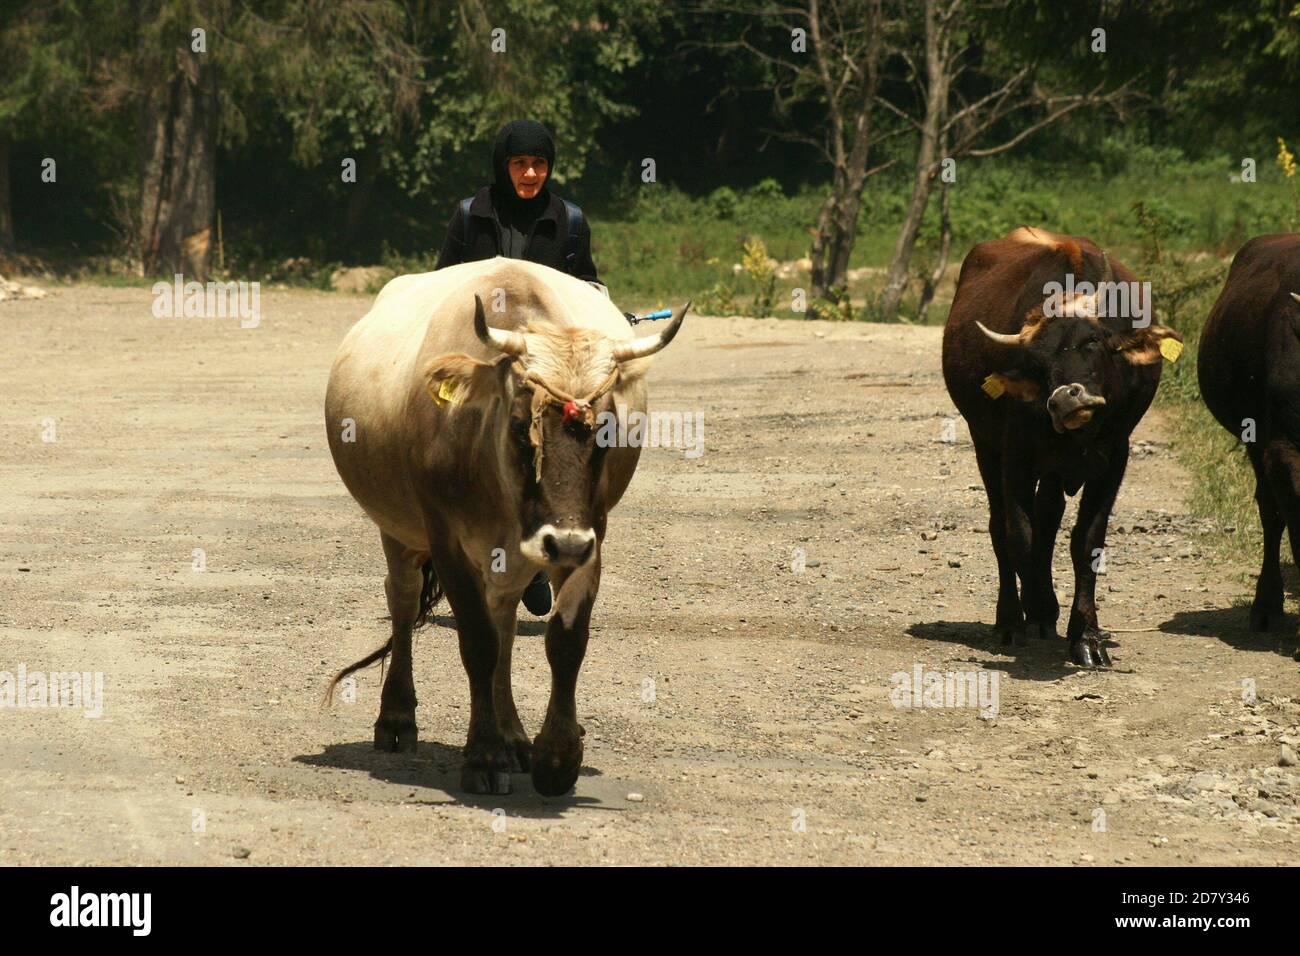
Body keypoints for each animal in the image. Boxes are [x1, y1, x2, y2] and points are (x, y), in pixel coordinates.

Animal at [323, 257, 689, 795]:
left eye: (606, 430)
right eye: (522, 426)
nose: (563, 542)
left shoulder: (588, 537)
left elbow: (563, 641)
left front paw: (555, 757)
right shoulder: (447, 541)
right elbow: (477, 642)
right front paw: (484, 757)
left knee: (504, 622)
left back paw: (514, 734)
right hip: (398, 529)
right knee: (404, 599)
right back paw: (397, 719)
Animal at [942, 227, 1182, 667]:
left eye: (1093, 341)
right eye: (1037, 362)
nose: (1067, 400)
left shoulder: (1114, 457)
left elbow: (1086, 541)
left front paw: (1086, 635)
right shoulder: (1015, 455)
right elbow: (1018, 534)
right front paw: (1036, 607)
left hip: (1055, 469)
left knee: (1050, 517)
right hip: (984, 444)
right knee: (1001, 527)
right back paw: (1014, 618)